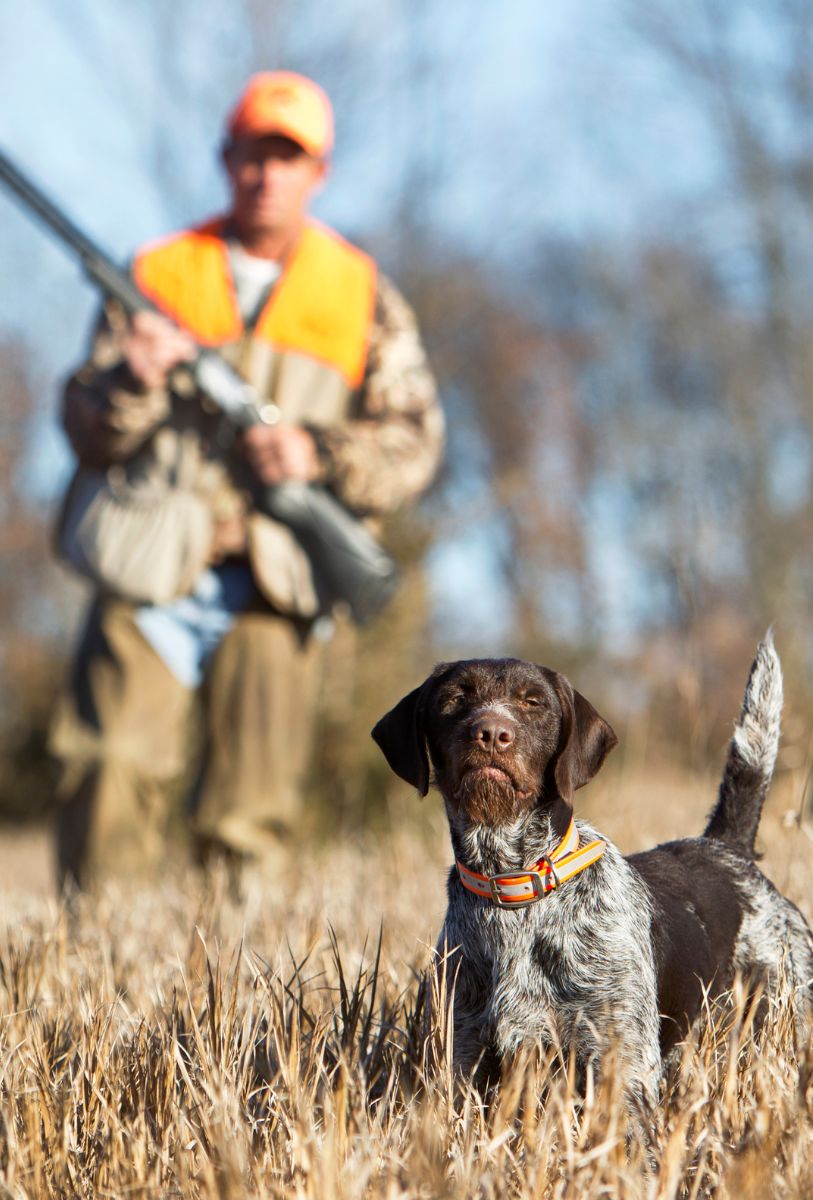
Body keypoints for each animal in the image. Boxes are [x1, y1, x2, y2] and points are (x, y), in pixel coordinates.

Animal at [374, 638, 813, 1113]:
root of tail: (727, 848)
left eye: (533, 702)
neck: (513, 889)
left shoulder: (620, 1065)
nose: (491, 733)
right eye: (454, 698)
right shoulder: (463, 1063)